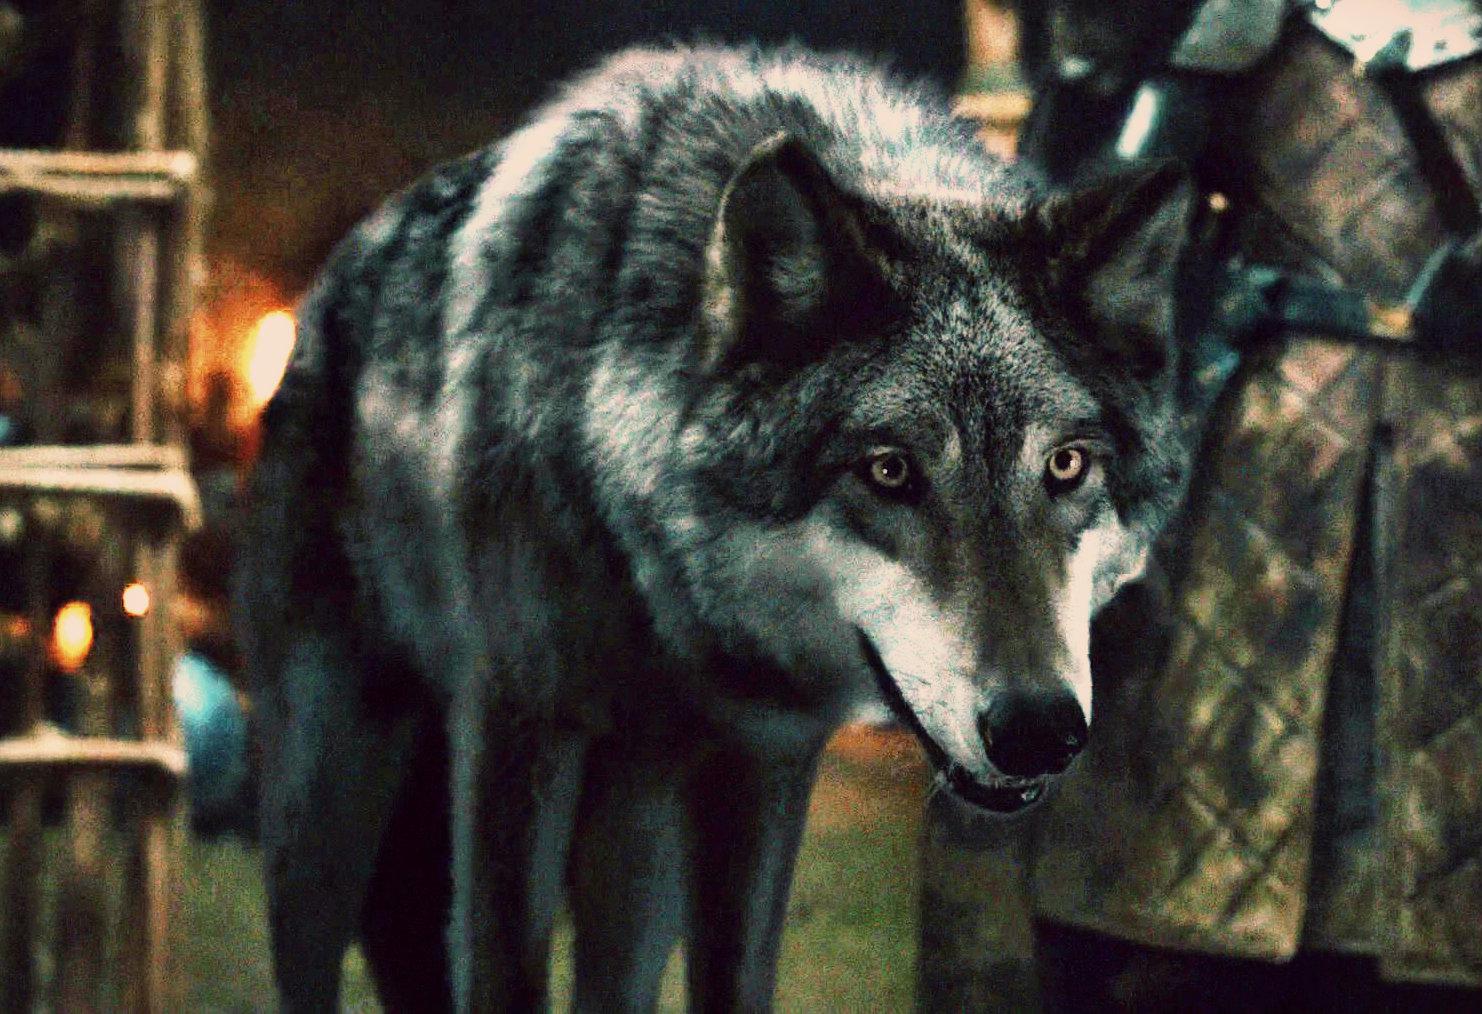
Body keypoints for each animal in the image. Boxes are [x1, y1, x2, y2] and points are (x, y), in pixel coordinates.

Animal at [234, 44, 1193, 1012]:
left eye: (1064, 466)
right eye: (889, 470)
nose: (1038, 728)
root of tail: (324, 293)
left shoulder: (766, 766)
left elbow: (736, 979)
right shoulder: (514, 741)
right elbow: (503, 975)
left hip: (637, 857)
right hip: (322, 818)